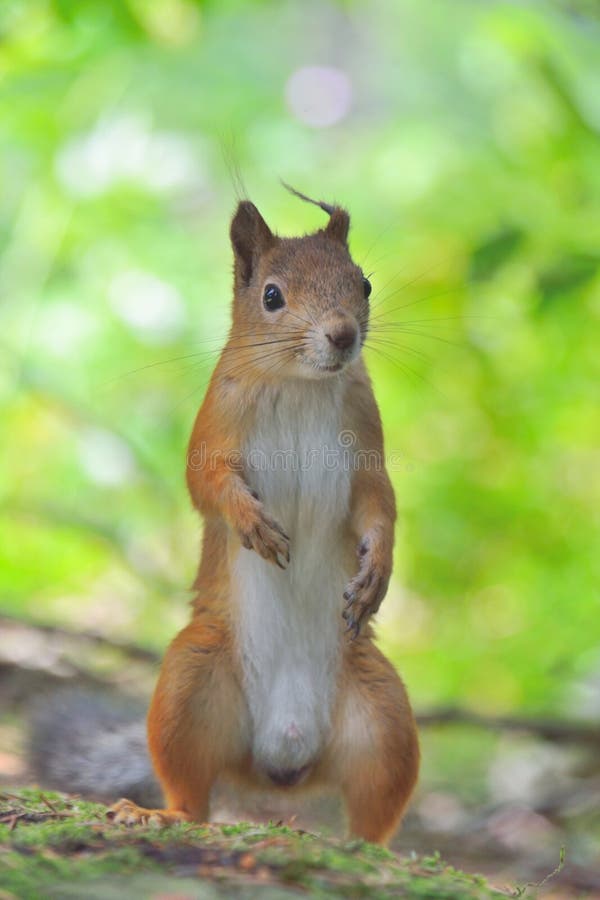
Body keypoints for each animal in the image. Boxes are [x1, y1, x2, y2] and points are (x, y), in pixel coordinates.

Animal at [32, 186, 419, 846]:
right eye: (272, 295)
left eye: (364, 284)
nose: (343, 335)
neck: (299, 383)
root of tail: (279, 761)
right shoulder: (215, 424)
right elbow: (207, 484)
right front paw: (251, 523)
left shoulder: (366, 443)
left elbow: (379, 501)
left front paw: (378, 571)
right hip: (190, 684)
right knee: (192, 795)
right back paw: (156, 812)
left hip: (384, 717)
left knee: (375, 812)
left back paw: (381, 852)